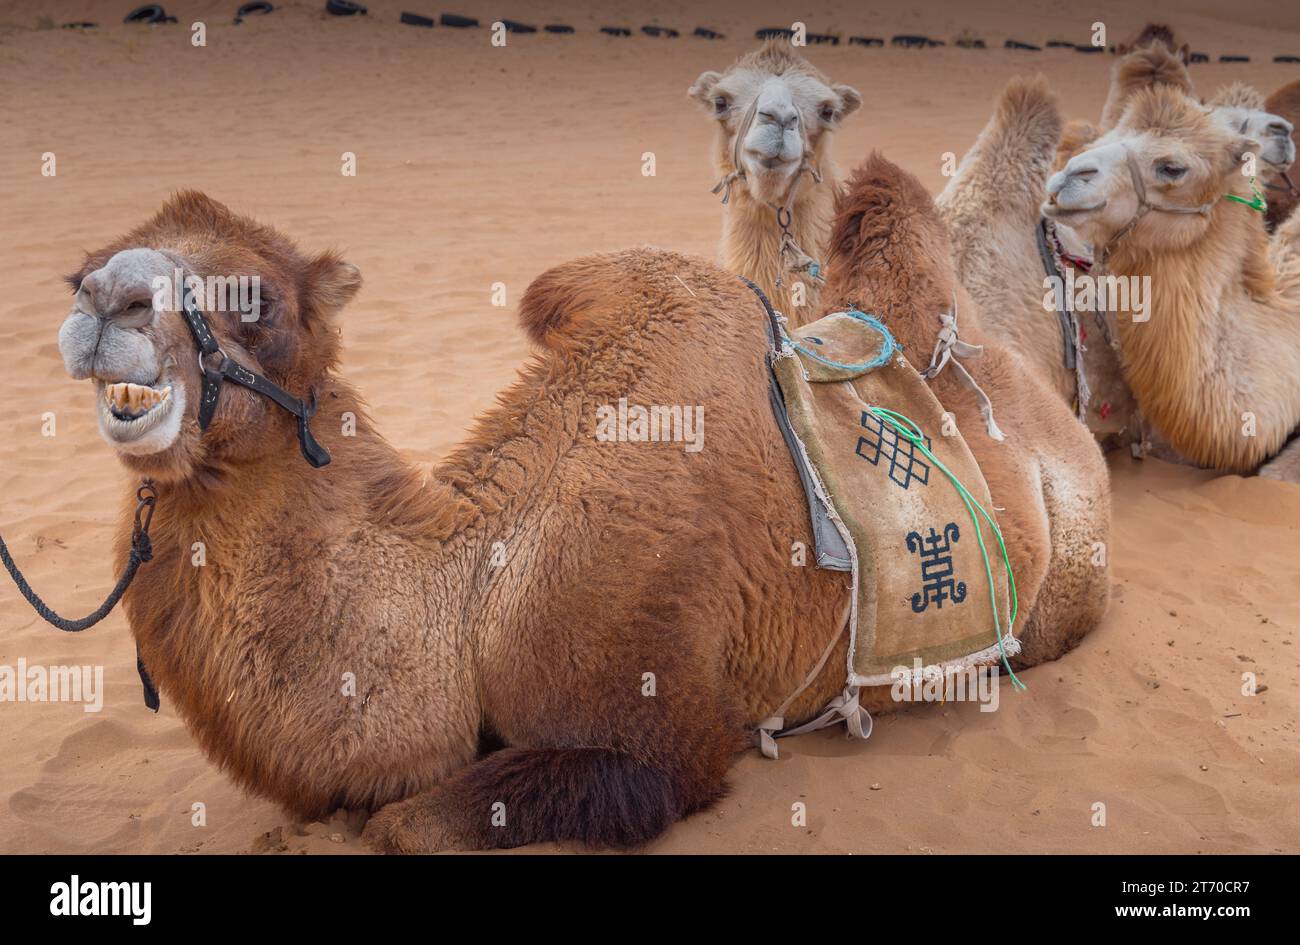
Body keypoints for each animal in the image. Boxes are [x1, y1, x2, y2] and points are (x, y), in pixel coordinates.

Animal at [54, 191, 1106, 853]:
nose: (107, 295)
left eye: (258, 300)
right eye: (83, 269)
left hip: (1069, 581)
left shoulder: (658, 738)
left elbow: (406, 825)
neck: (474, 592)